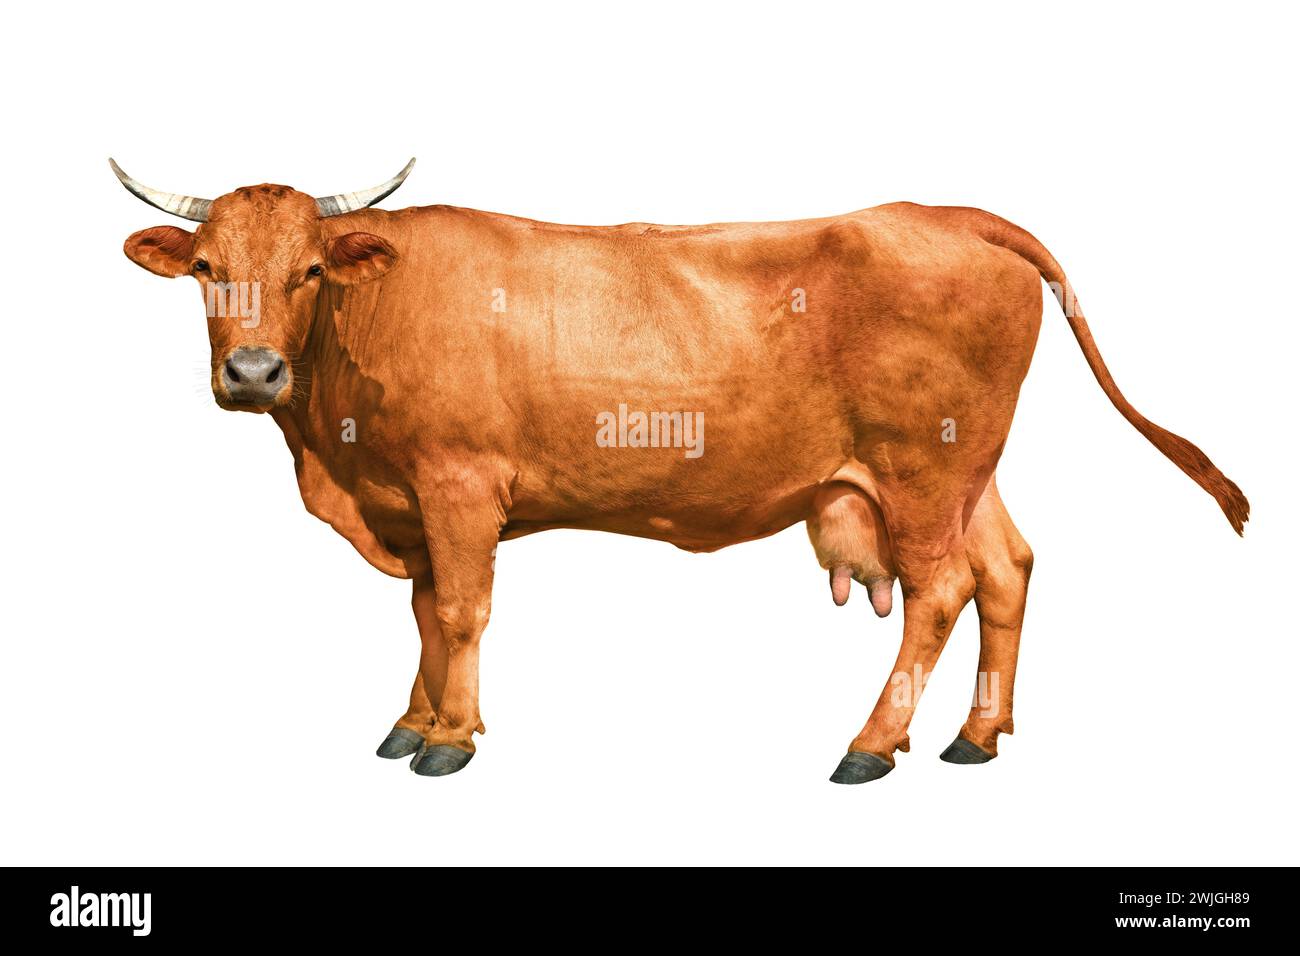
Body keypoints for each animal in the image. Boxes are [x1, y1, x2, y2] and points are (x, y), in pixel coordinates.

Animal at [113, 158, 1248, 783]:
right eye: (207, 270)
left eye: (309, 269)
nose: (252, 371)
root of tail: (943, 213)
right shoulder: (415, 502)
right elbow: (428, 613)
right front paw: (413, 721)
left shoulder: (459, 484)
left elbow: (464, 612)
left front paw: (452, 738)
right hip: (964, 462)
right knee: (1007, 567)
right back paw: (978, 733)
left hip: (923, 472)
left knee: (942, 591)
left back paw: (871, 744)